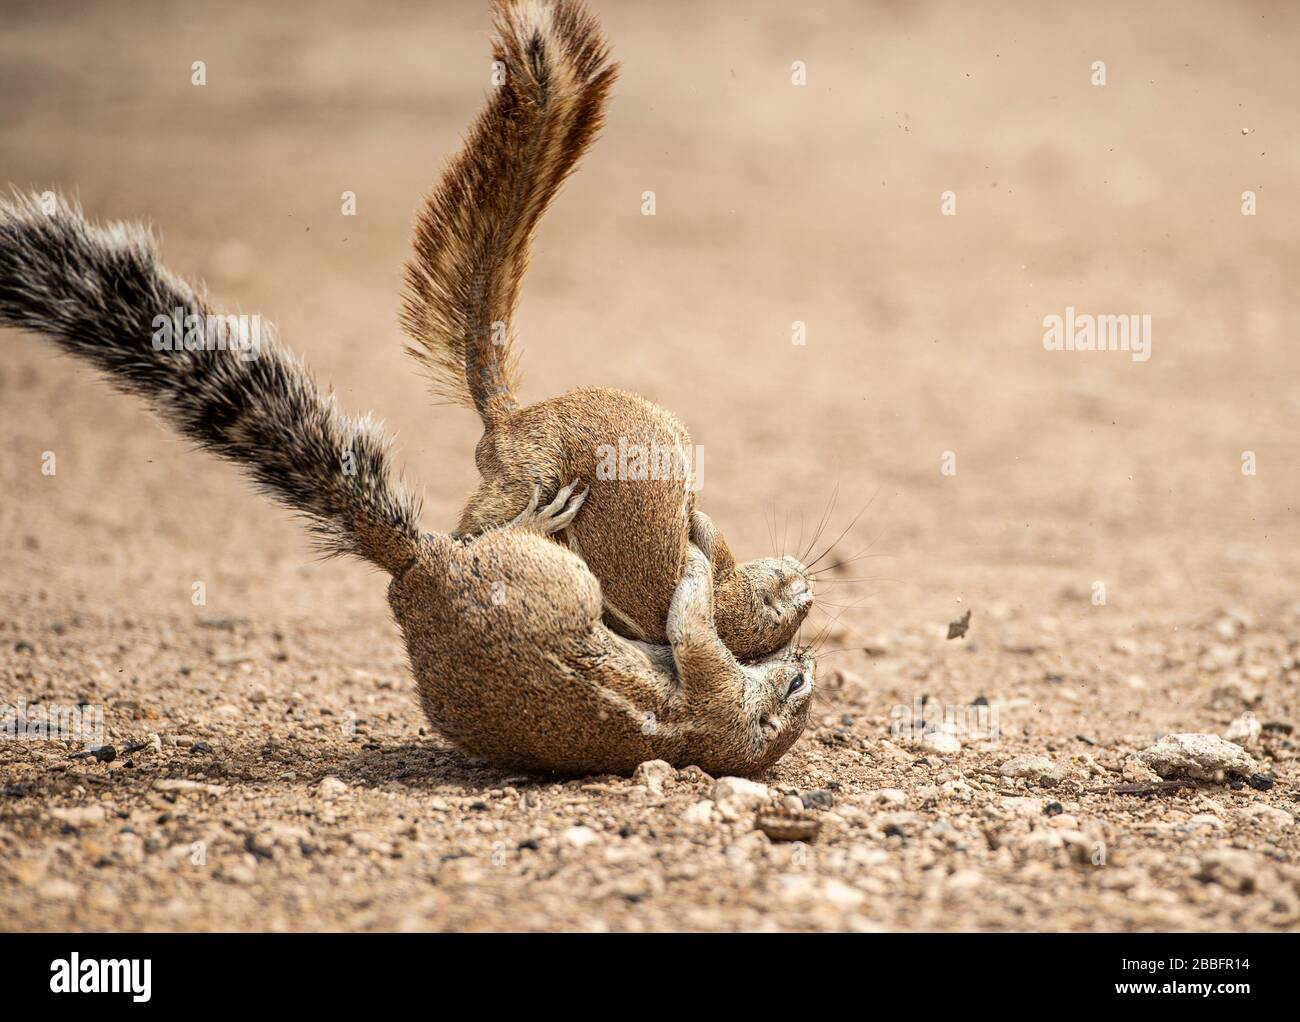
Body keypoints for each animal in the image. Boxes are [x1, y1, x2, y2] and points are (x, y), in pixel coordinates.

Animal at [0, 191, 814, 776]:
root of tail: (421, 566)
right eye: (802, 690)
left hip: (548, 579)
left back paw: (539, 518)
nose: (810, 661)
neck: (726, 735)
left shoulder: (712, 693)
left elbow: (693, 634)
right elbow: (695, 618)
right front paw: (701, 551)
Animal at [400, 0, 813, 659]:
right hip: (523, 476)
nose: (807, 579)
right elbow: (708, 539)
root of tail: (512, 419)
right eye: (783, 599)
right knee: (473, 529)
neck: (721, 602)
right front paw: (700, 523)